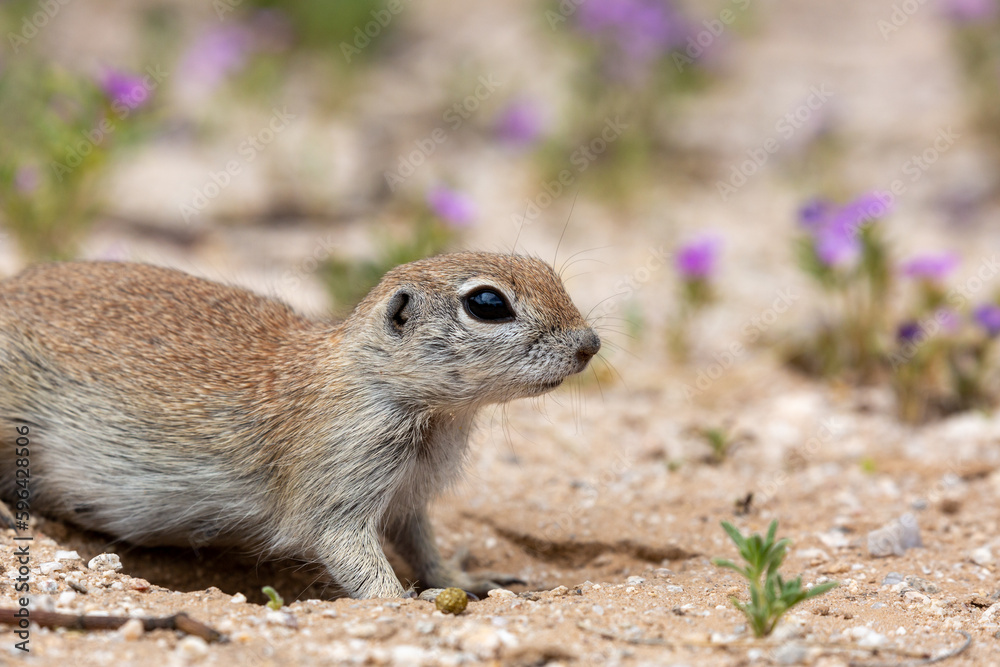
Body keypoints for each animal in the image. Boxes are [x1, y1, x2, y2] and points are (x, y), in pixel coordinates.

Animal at [0, 252, 600, 599]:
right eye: (487, 303)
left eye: (549, 271)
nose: (590, 344)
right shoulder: (344, 468)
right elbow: (347, 549)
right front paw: (405, 605)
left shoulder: (407, 497)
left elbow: (421, 543)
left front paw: (464, 582)